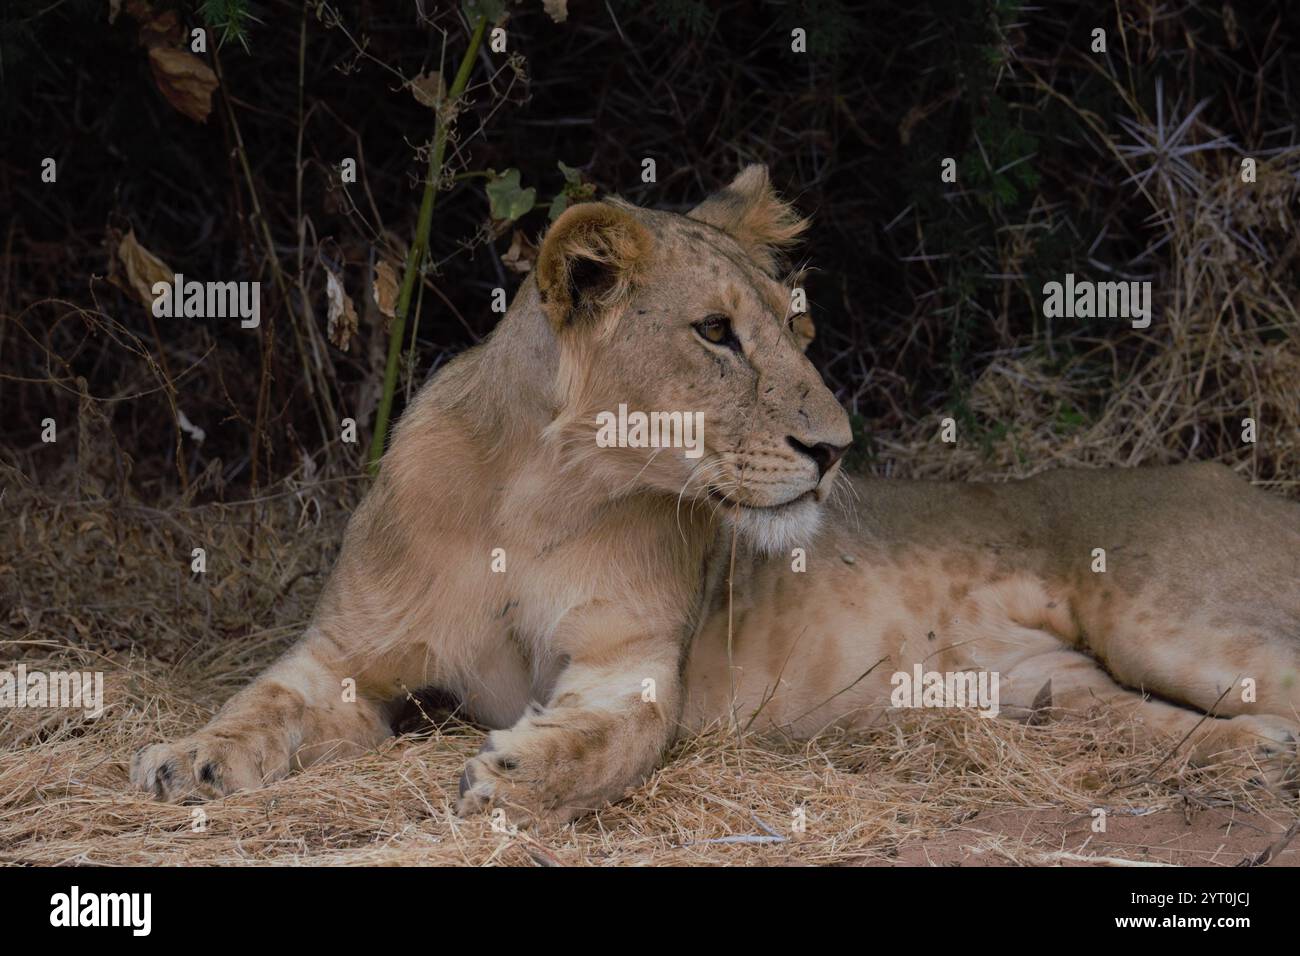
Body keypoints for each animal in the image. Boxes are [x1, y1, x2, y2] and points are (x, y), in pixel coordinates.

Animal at [131, 165, 1300, 827]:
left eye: (798, 326)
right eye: (714, 334)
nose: (834, 449)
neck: (535, 499)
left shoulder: (633, 665)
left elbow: (599, 740)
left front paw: (514, 777)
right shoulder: (347, 652)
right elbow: (260, 702)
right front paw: (186, 760)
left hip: (1167, 618)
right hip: (1058, 694)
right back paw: (1252, 763)